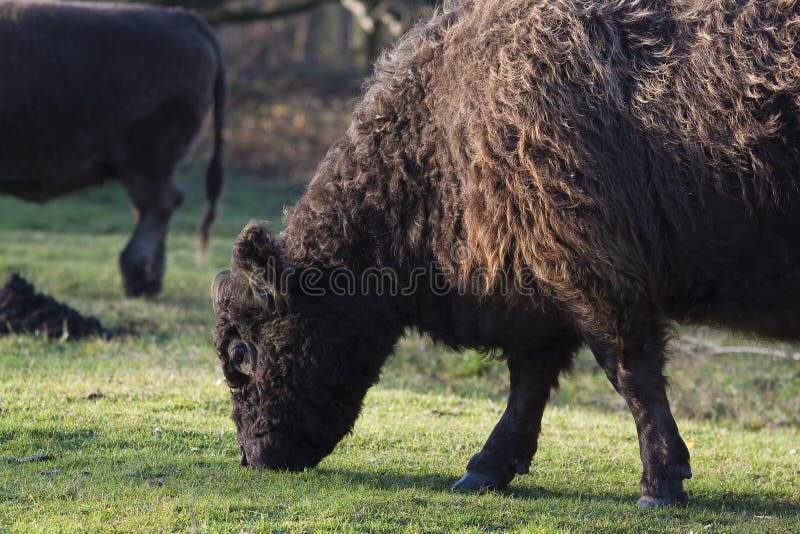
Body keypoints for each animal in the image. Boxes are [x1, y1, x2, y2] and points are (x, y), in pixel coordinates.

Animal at [0, 0, 225, 296]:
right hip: (155, 164)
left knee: (160, 204)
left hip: (147, 159)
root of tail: (184, 18)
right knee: (154, 206)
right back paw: (151, 283)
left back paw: (135, 277)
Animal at [212, 0, 800, 508]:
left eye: (241, 353)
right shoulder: (540, 292)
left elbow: (631, 375)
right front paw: (485, 469)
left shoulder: (596, 278)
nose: (251, 457)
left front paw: (660, 484)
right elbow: (529, 384)